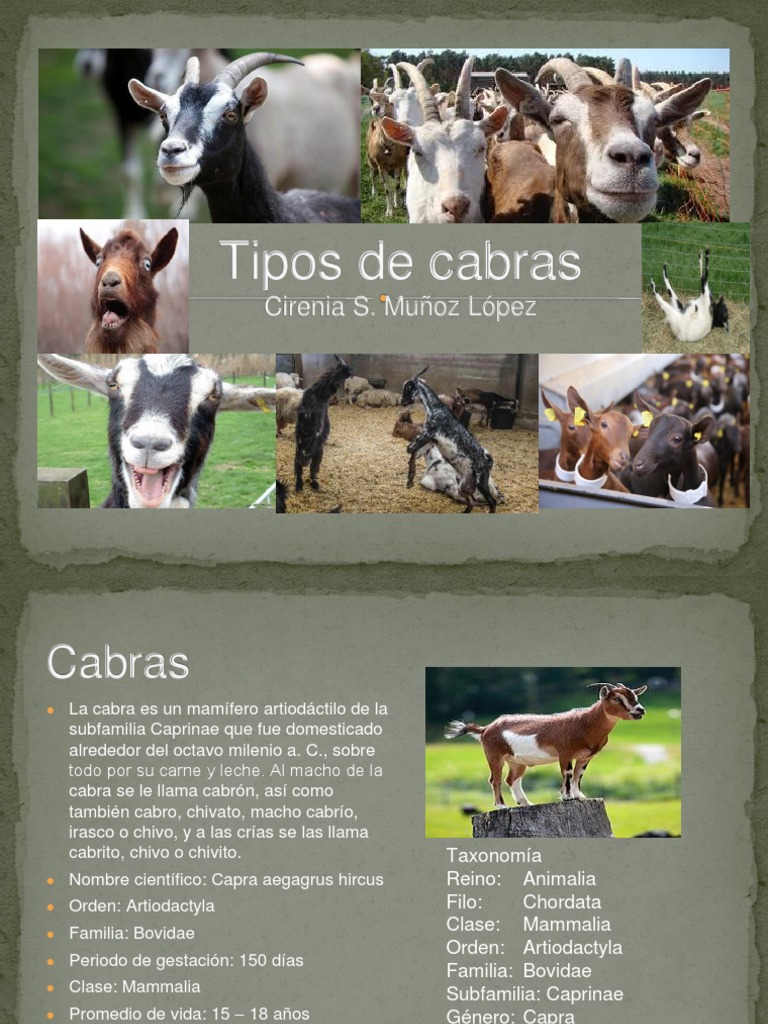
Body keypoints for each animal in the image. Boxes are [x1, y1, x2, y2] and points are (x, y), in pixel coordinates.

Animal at [294, 356, 352, 492]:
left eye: (344, 377)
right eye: (339, 374)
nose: (337, 385)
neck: (319, 396)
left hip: (319, 452)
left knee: (313, 468)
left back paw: (314, 482)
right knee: (298, 467)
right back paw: (299, 484)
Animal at [401, 368, 498, 512]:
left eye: (408, 387)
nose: (402, 401)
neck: (436, 410)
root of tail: (487, 463)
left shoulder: (428, 433)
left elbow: (411, 448)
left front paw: (410, 480)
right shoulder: (431, 439)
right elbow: (413, 450)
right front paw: (410, 478)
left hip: (481, 482)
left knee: (492, 502)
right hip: (463, 486)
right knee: (471, 502)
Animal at [446, 683, 647, 808]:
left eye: (635, 697)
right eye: (617, 699)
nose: (640, 710)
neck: (585, 723)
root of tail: (486, 728)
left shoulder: (585, 756)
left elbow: (579, 774)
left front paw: (580, 796)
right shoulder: (565, 752)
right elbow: (568, 773)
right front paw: (567, 797)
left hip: (516, 761)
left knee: (511, 779)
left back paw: (526, 803)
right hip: (494, 755)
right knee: (495, 779)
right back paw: (501, 806)